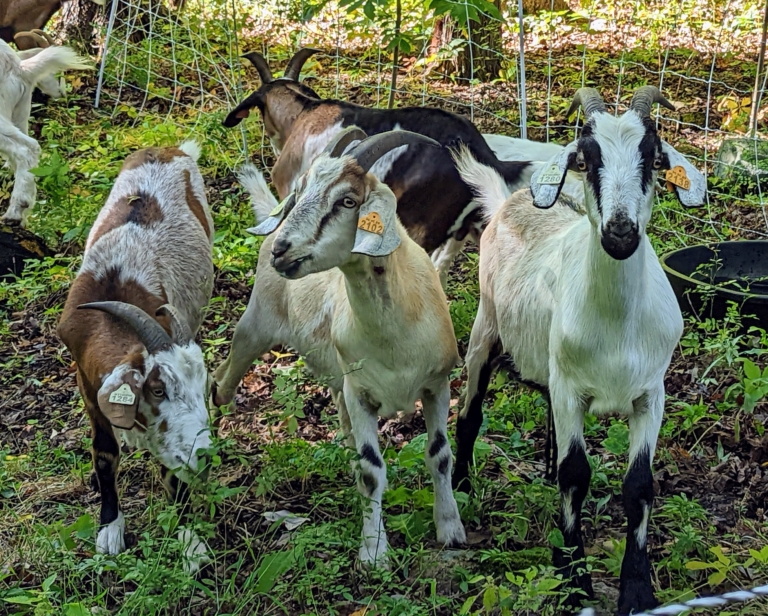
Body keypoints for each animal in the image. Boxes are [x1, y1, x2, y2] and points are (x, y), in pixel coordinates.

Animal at [57, 142, 214, 571]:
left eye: (204, 388)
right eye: (157, 390)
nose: (205, 456)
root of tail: (169, 146)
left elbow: (172, 471)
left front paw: (191, 542)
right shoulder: (86, 383)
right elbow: (104, 454)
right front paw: (109, 528)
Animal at [213, 127, 466, 567]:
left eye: (347, 201)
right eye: (300, 192)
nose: (282, 249)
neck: (396, 339)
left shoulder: (437, 385)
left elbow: (439, 454)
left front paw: (450, 529)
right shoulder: (360, 392)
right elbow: (371, 470)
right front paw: (374, 552)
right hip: (255, 326)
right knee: (220, 383)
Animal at [451, 87, 706, 615]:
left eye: (653, 158)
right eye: (586, 161)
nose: (621, 232)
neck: (618, 327)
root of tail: (509, 199)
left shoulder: (651, 394)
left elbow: (639, 485)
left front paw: (637, 590)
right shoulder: (571, 390)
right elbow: (575, 474)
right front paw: (573, 582)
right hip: (486, 328)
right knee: (470, 412)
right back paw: (461, 488)